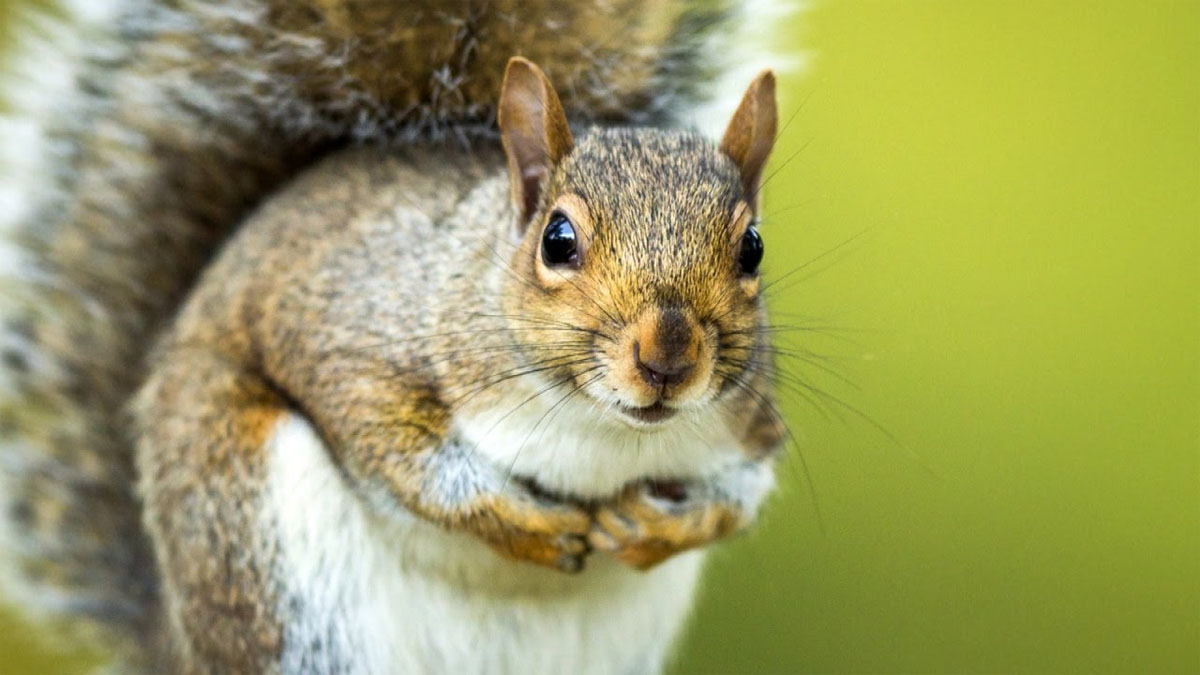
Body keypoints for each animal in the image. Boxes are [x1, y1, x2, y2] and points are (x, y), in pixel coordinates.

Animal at [0, 1, 790, 673]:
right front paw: (517, 520)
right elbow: (396, 448)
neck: (602, 430)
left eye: (752, 247)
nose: (667, 357)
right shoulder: (353, 337)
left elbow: (744, 490)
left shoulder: (749, 423)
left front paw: (666, 528)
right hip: (260, 556)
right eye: (558, 240)